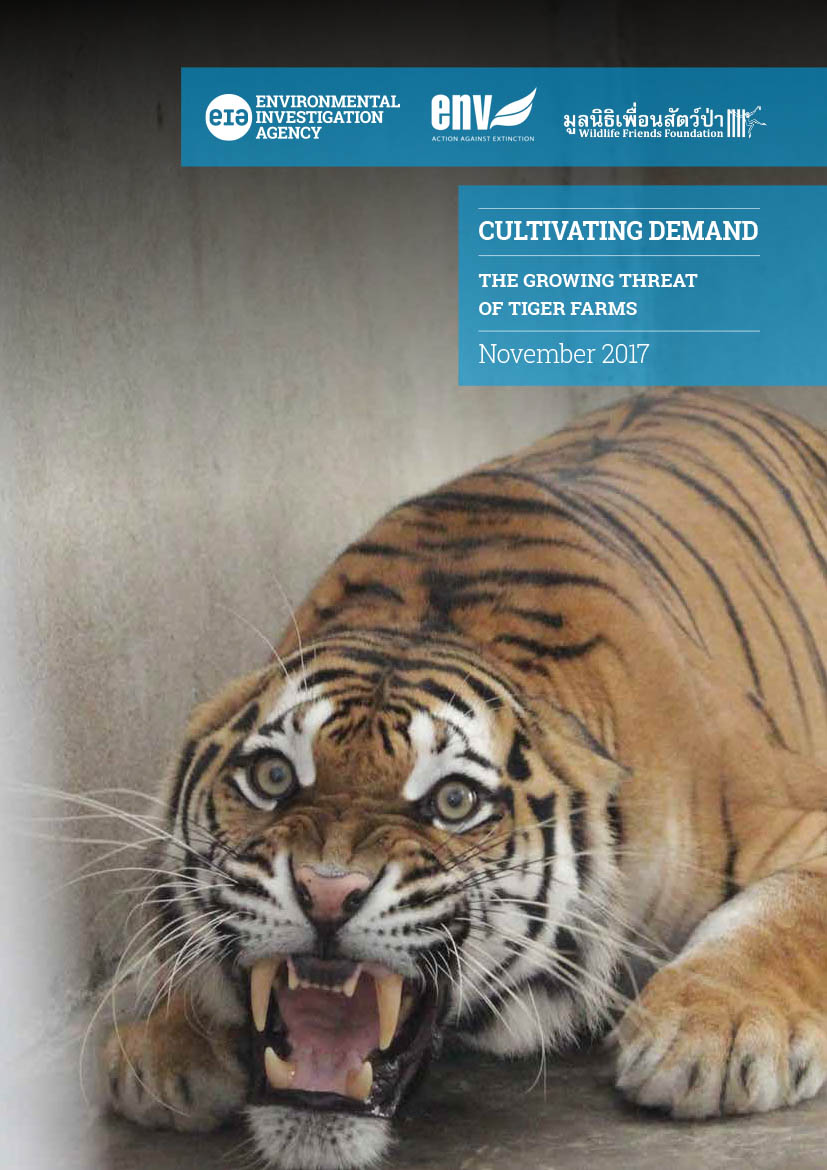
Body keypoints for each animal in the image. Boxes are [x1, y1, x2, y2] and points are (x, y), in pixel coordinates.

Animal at [102, 387, 827, 1170]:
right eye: (272, 776)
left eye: (453, 801)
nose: (326, 893)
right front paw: (163, 1046)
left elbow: (783, 910)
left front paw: (713, 1035)